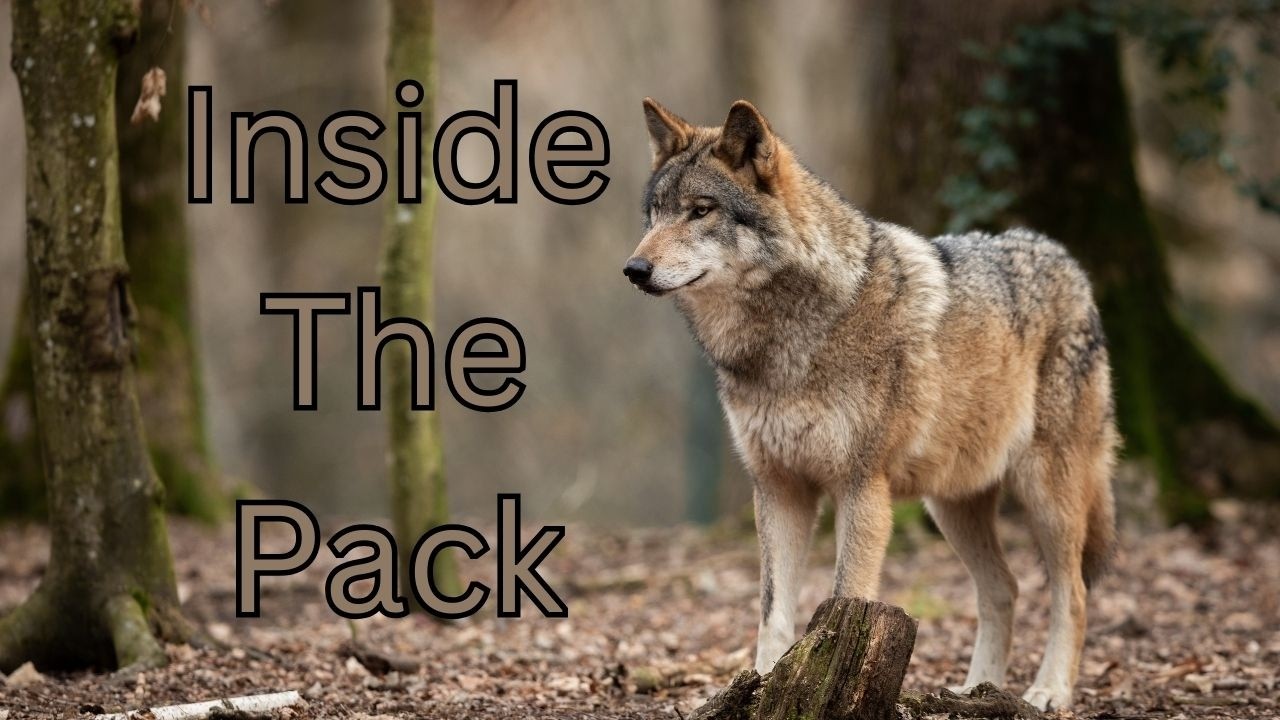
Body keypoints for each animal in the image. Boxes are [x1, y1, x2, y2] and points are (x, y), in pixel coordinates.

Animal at [624, 98, 1118, 711]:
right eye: (655, 214)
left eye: (700, 211)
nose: (634, 270)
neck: (785, 341)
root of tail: (1066, 259)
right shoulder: (778, 488)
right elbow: (772, 612)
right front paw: (762, 688)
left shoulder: (861, 488)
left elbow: (844, 598)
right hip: (951, 505)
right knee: (1004, 588)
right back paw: (976, 690)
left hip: (1047, 495)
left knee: (1072, 592)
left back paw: (1049, 690)